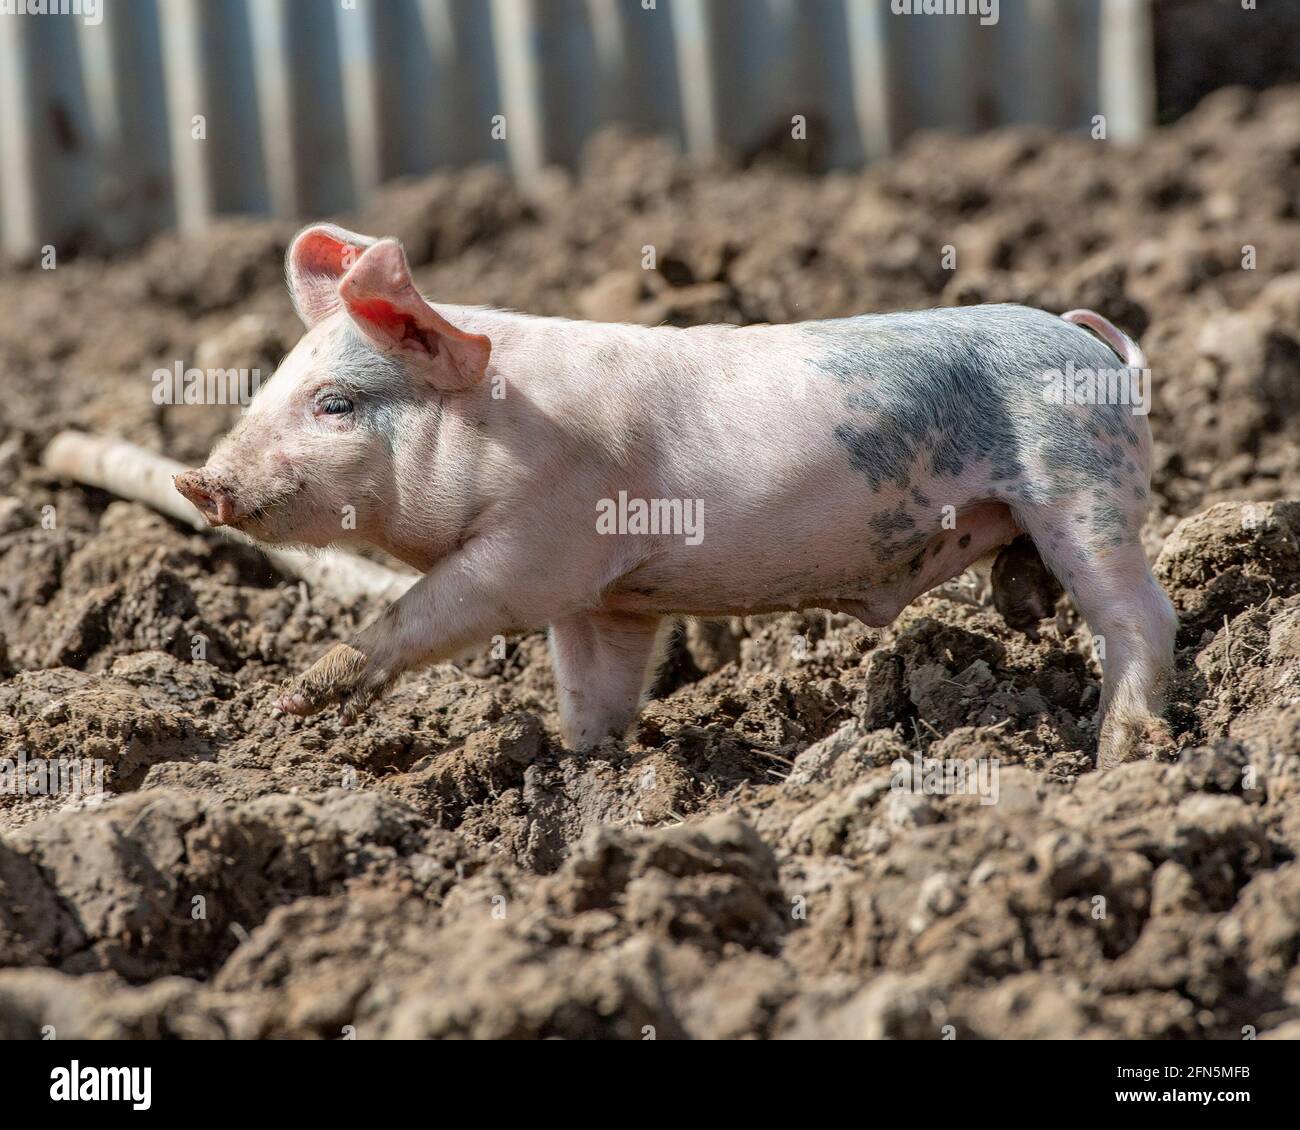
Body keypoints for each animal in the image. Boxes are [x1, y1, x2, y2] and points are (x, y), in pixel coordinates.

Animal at [175, 224, 1177, 770]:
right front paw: (587, 765)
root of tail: (1105, 353)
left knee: (1142, 612)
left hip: (1080, 486)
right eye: (270, 384)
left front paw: (289, 704)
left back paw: (1121, 755)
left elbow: (428, 609)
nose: (196, 482)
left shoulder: (539, 548)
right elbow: (594, 690)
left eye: (336, 403)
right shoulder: (604, 600)